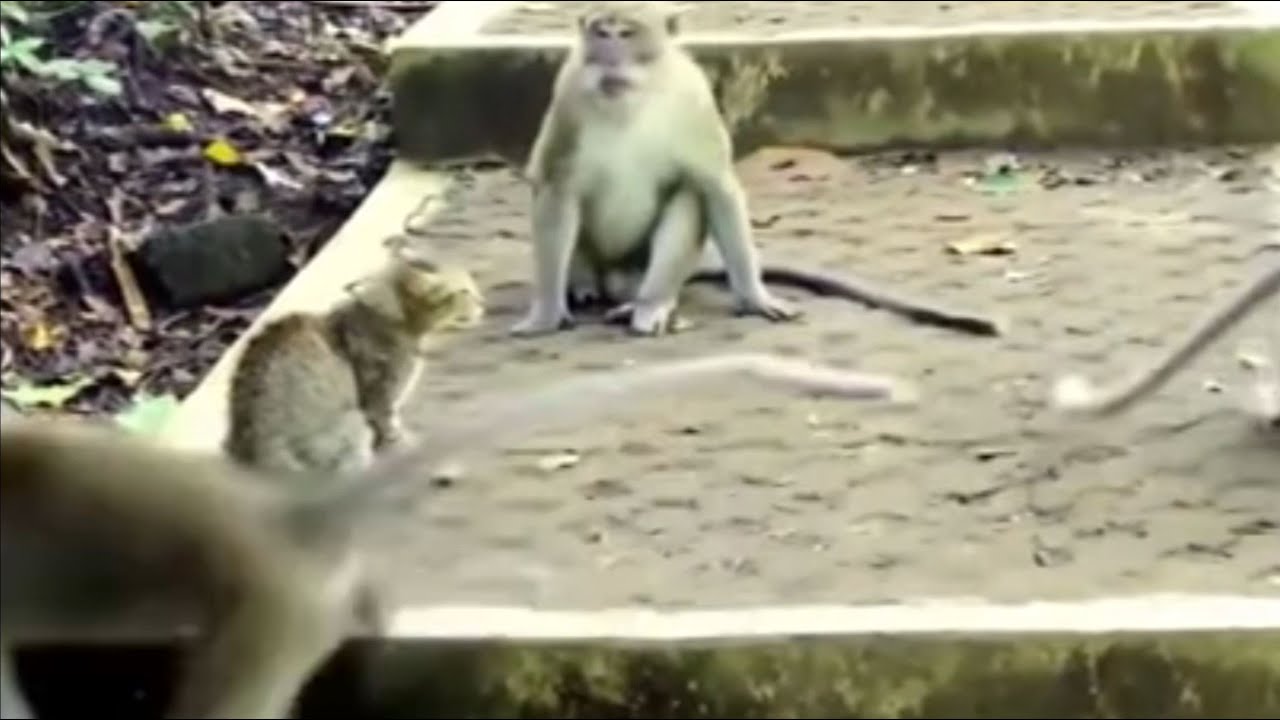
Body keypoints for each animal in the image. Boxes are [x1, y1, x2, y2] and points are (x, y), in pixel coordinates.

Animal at [511, 1, 1002, 340]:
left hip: (640, 269)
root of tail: (615, 279)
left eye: (626, 33)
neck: (633, 98)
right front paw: (546, 314)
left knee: (689, 194)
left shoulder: (693, 99)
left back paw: (651, 304)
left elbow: (715, 186)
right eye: (601, 32)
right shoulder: (569, 95)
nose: (607, 53)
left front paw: (755, 296)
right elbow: (554, 185)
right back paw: (582, 287)